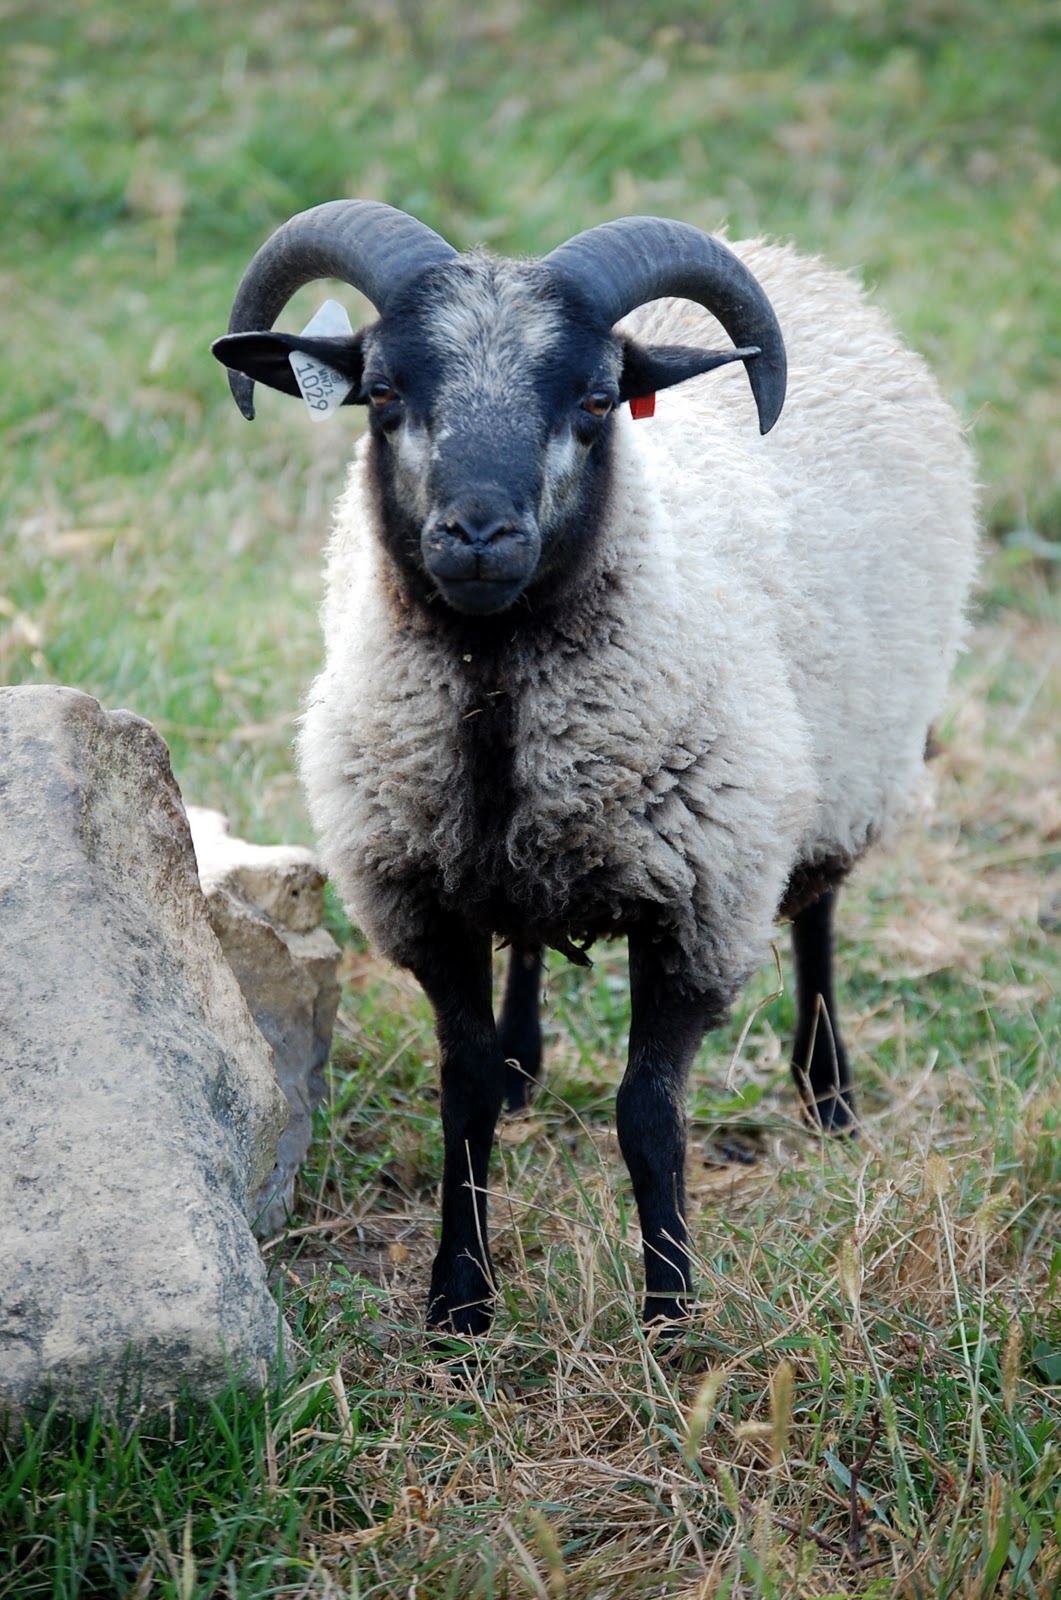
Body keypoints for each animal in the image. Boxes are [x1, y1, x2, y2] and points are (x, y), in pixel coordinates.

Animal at [212, 200, 978, 1337]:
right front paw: (459, 1302)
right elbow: (466, 1096)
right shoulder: (422, 899)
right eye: (382, 391)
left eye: (593, 398)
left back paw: (826, 1092)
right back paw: (530, 1056)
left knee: (818, 913)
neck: (499, 716)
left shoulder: (701, 906)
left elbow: (647, 1116)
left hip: (845, 766)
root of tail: (802, 265)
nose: (478, 533)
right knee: (529, 936)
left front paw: (670, 1313)